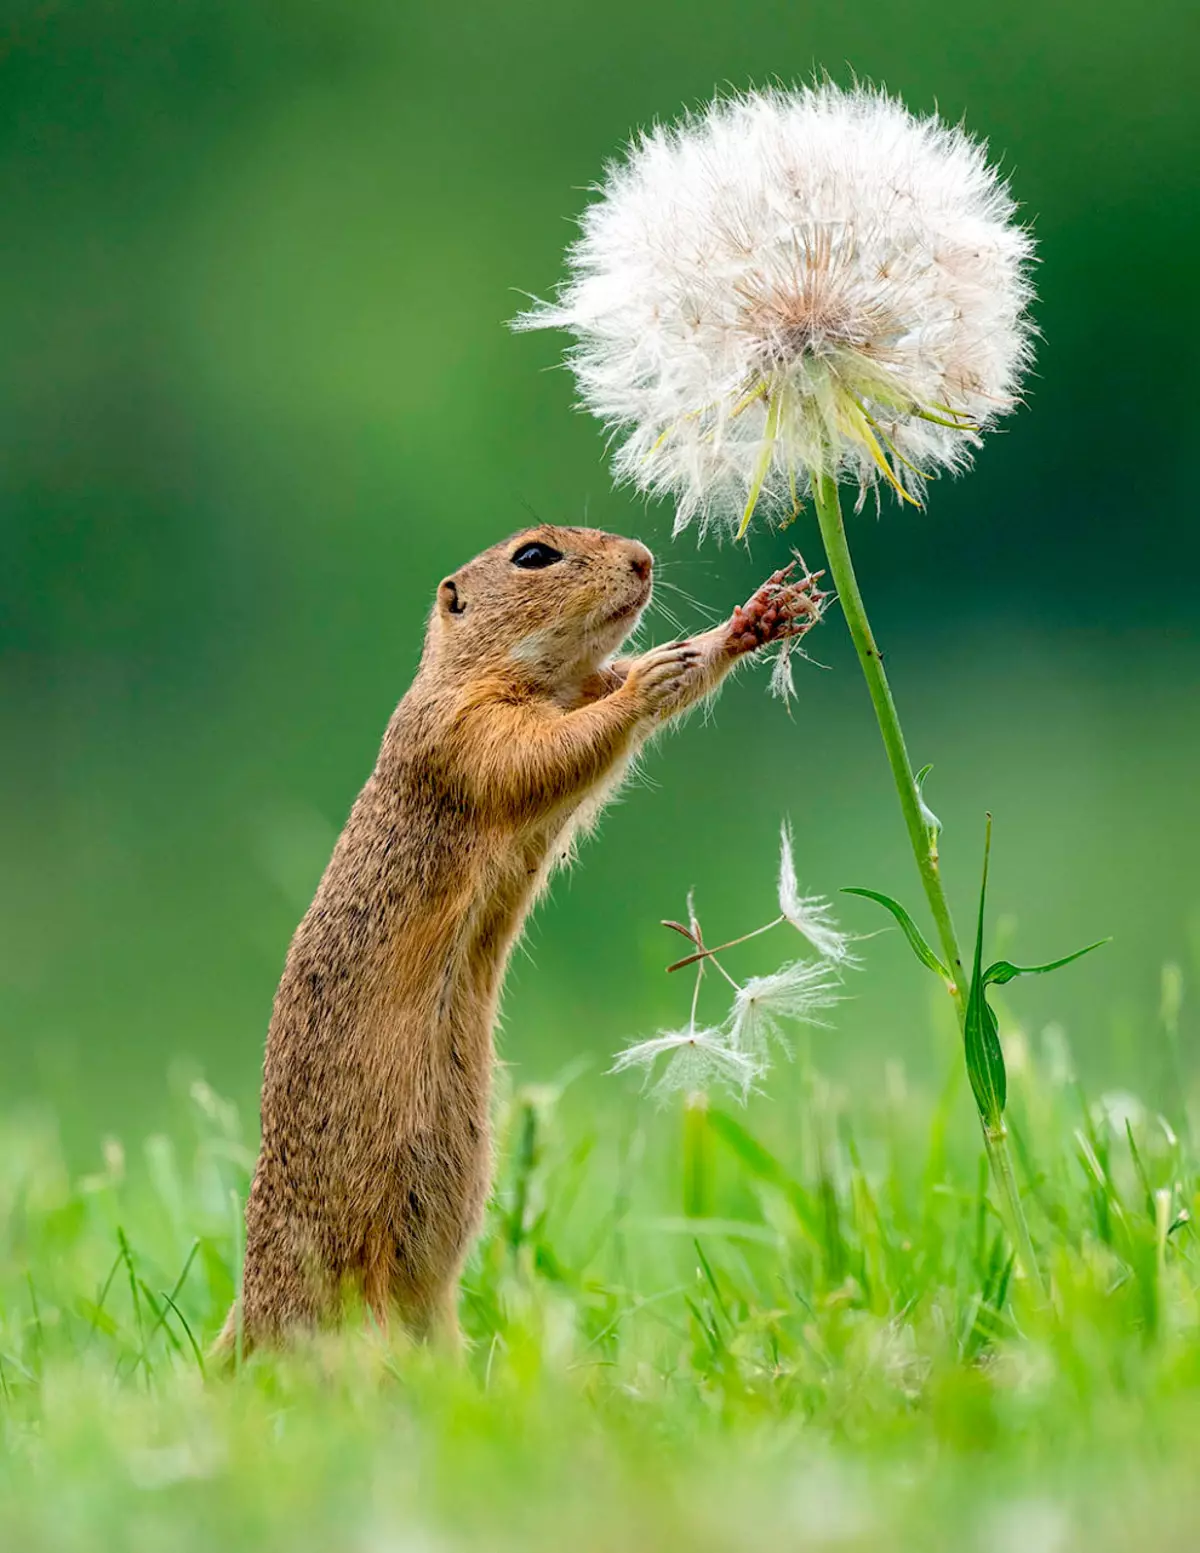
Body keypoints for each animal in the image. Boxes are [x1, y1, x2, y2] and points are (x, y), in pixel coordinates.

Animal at [220, 521, 825, 1348]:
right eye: (533, 555)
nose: (642, 558)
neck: (524, 677)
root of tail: (250, 1318)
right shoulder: (465, 731)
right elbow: (543, 753)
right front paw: (652, 680)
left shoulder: (569, 691)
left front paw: (751, 622)